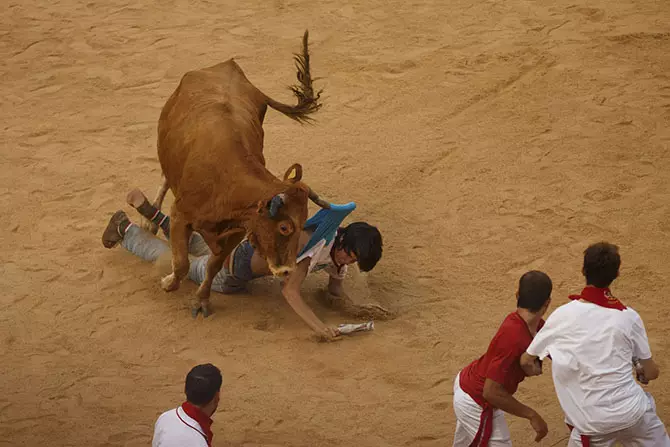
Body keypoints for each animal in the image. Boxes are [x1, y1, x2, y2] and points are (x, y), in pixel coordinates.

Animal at [153, 31, 330, 316]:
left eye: (304, 222)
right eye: (284, 227)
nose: (287, 270)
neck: (227, 184)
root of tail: (227, 65)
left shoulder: (237, 230)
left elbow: (214, 265)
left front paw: (202, 300)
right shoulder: (181, 215)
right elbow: (181, 263)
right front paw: (168, 283)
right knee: (166, 176)